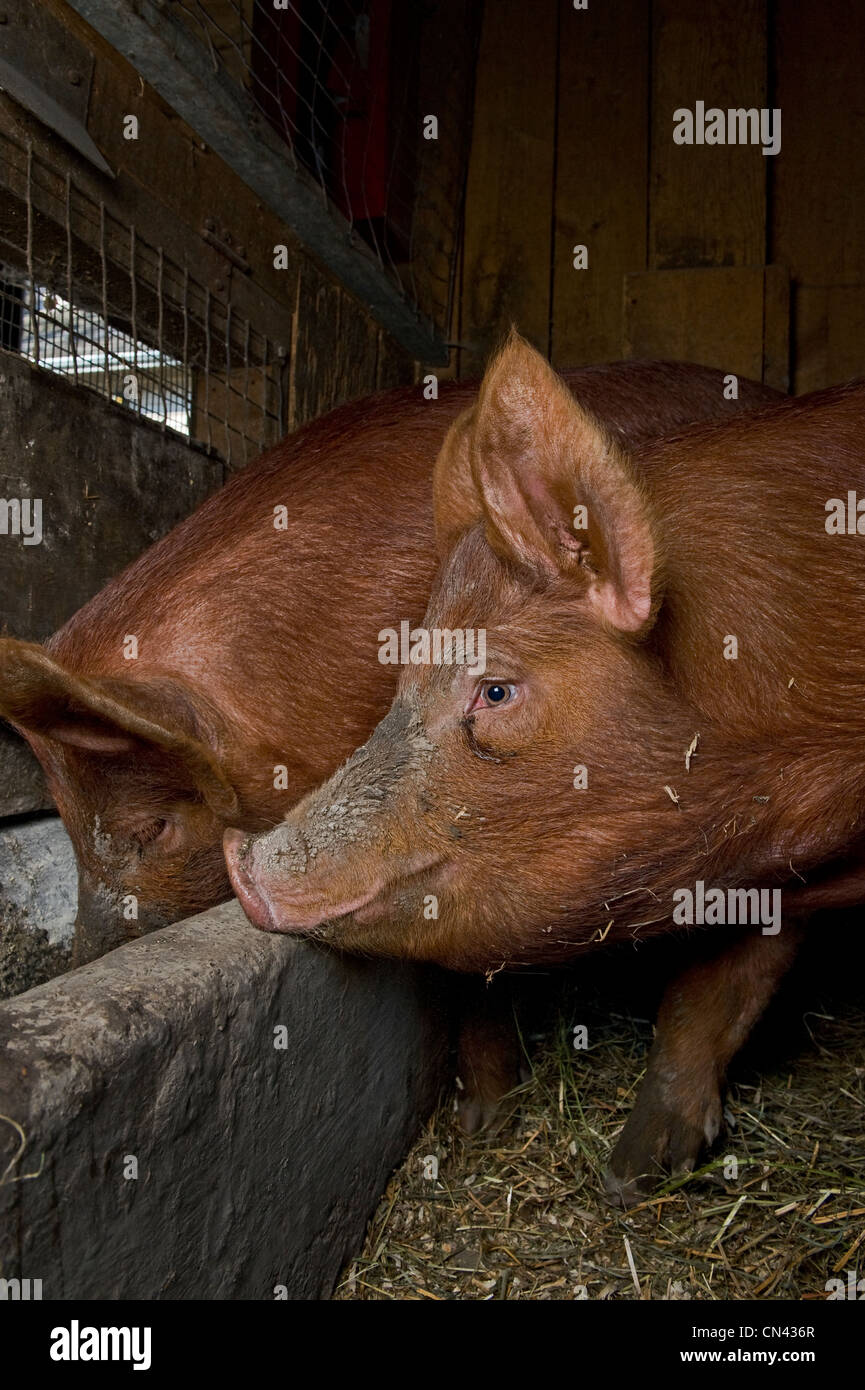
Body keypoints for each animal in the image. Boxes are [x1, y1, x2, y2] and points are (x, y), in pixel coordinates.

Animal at [225, 332, 865, 1200]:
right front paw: (626, 1171)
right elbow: (721, 981)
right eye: (400, 679)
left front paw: (626, 1179)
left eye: (495, 689)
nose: (242, 863)